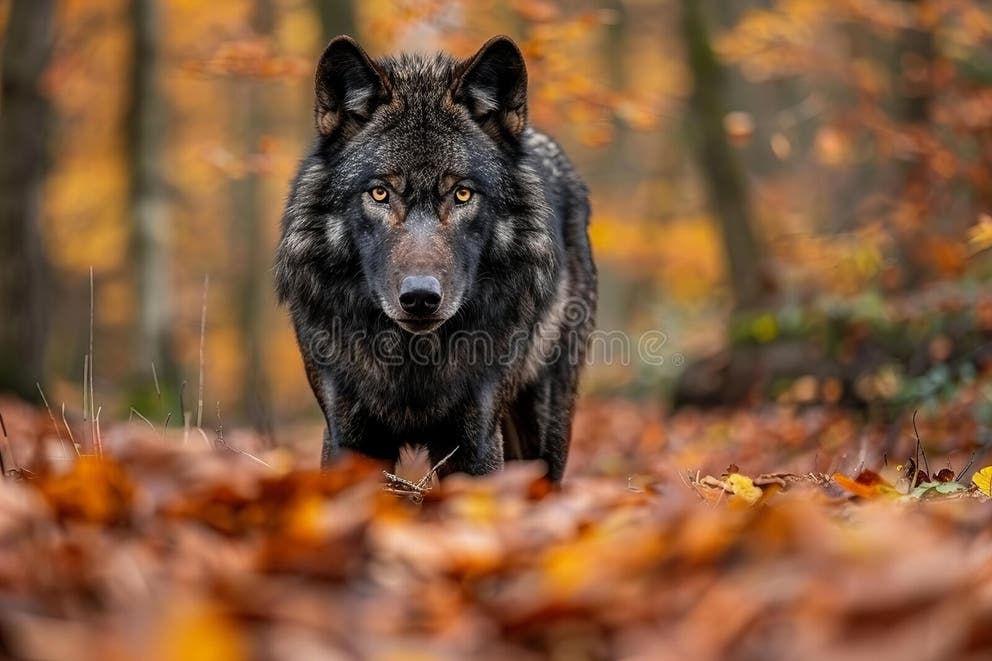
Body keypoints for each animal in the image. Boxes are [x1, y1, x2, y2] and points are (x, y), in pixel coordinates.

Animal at [274, 35, 596, 482]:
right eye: (379, 193)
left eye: (462, 193)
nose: (421, 297)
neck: (413, 360)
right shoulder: (348, 435)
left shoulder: (476, 438)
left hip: (545, 422)